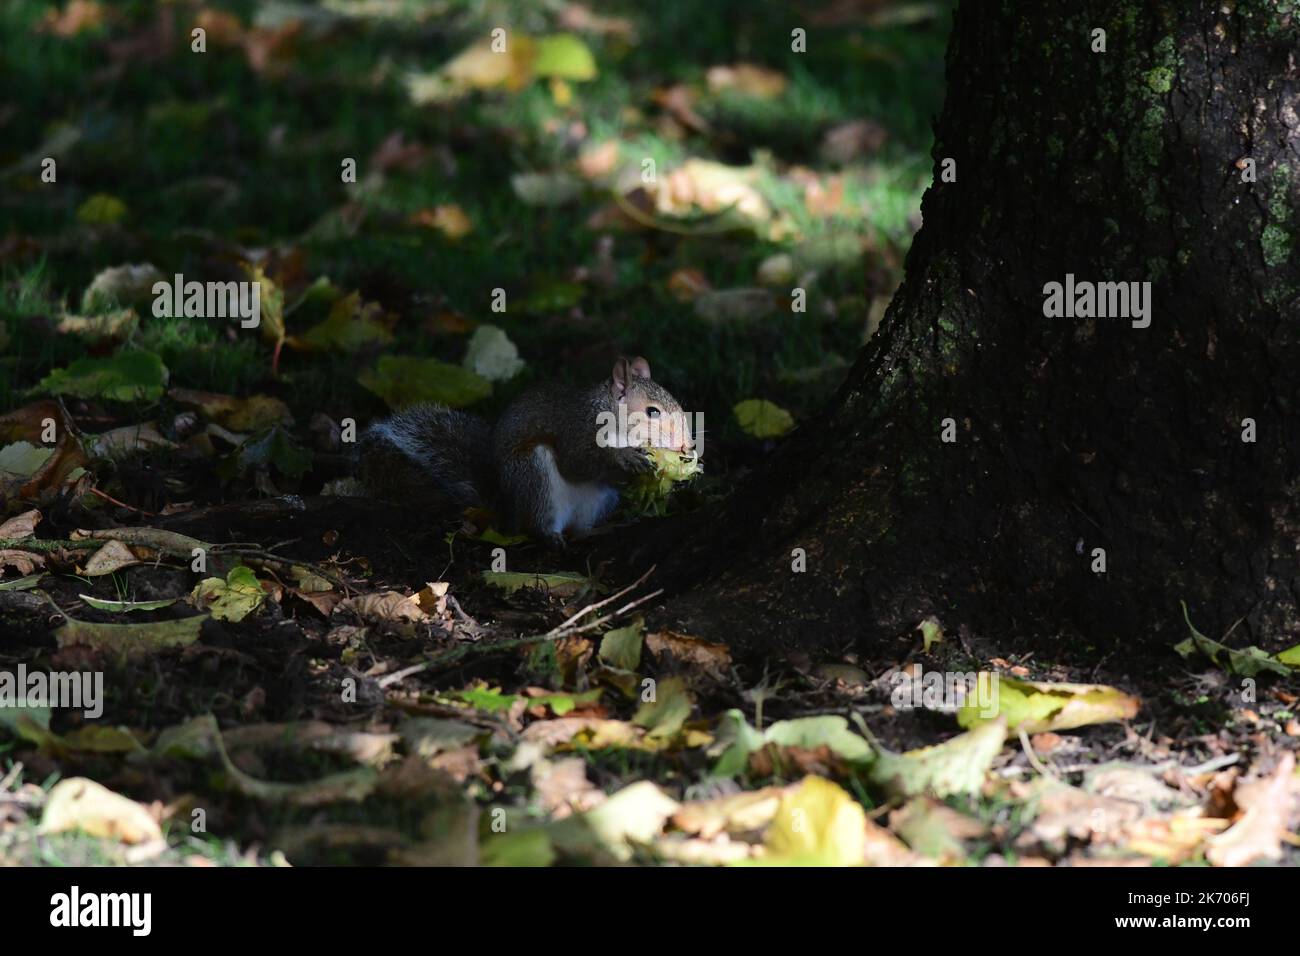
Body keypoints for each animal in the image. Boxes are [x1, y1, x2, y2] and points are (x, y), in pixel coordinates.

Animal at [358, 356, 694, 545]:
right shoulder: (576, 429)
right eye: (652, 412)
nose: (685, 447)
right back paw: (550, 535)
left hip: (597, 502)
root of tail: (507, 509)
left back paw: (599, 531)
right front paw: (628, 457)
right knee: (537, 525)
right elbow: (577, 462)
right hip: (533, 474)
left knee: (579, 531)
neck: (610, 415)